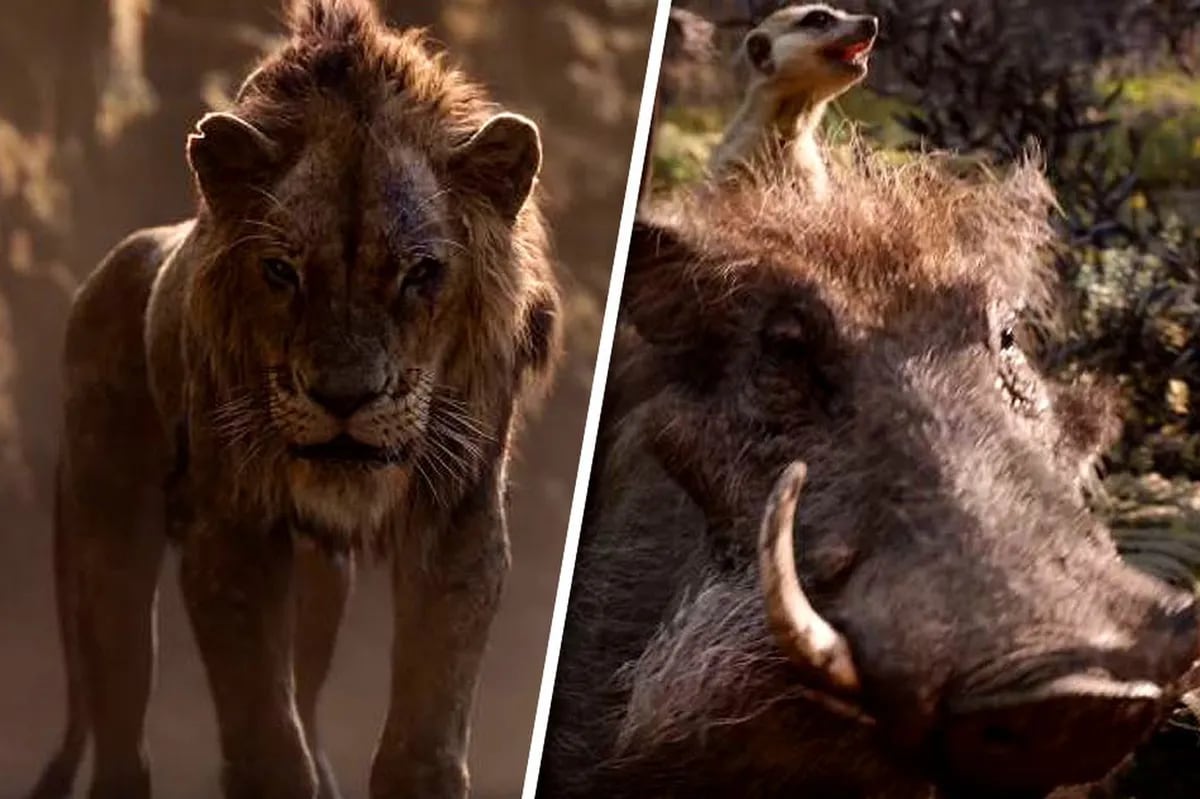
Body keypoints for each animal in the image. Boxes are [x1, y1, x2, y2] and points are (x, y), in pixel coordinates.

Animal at [27, 1, 560, 798]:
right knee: (122, 730)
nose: (343, 397)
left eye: (420, 274)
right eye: (281, 272)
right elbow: (265, 742)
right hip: (109, 536)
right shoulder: (233, 529)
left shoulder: (458, 518)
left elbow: (422, 739)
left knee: (305, 698)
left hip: (319, 582)